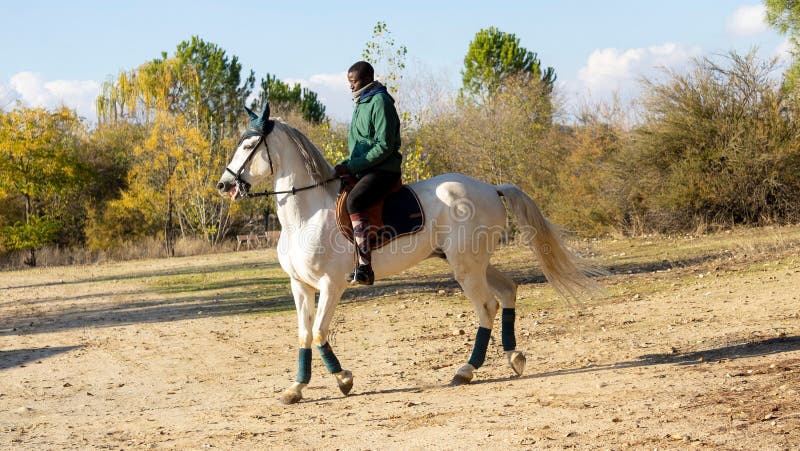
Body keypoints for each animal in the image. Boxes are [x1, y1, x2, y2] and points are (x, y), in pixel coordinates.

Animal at [217, 103, 598, 404]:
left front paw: (344, 379)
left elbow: (321, 332)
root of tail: (490, 187)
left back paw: (466, 370)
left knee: (487, 306)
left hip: (466, 266)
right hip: (473, 262)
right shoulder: (300, 286)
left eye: (249, 145)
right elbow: (304, 334)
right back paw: (513, 356)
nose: (224, 185)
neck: (305, 215)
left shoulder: (330, 285)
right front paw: (296, 388)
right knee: (508, 291)